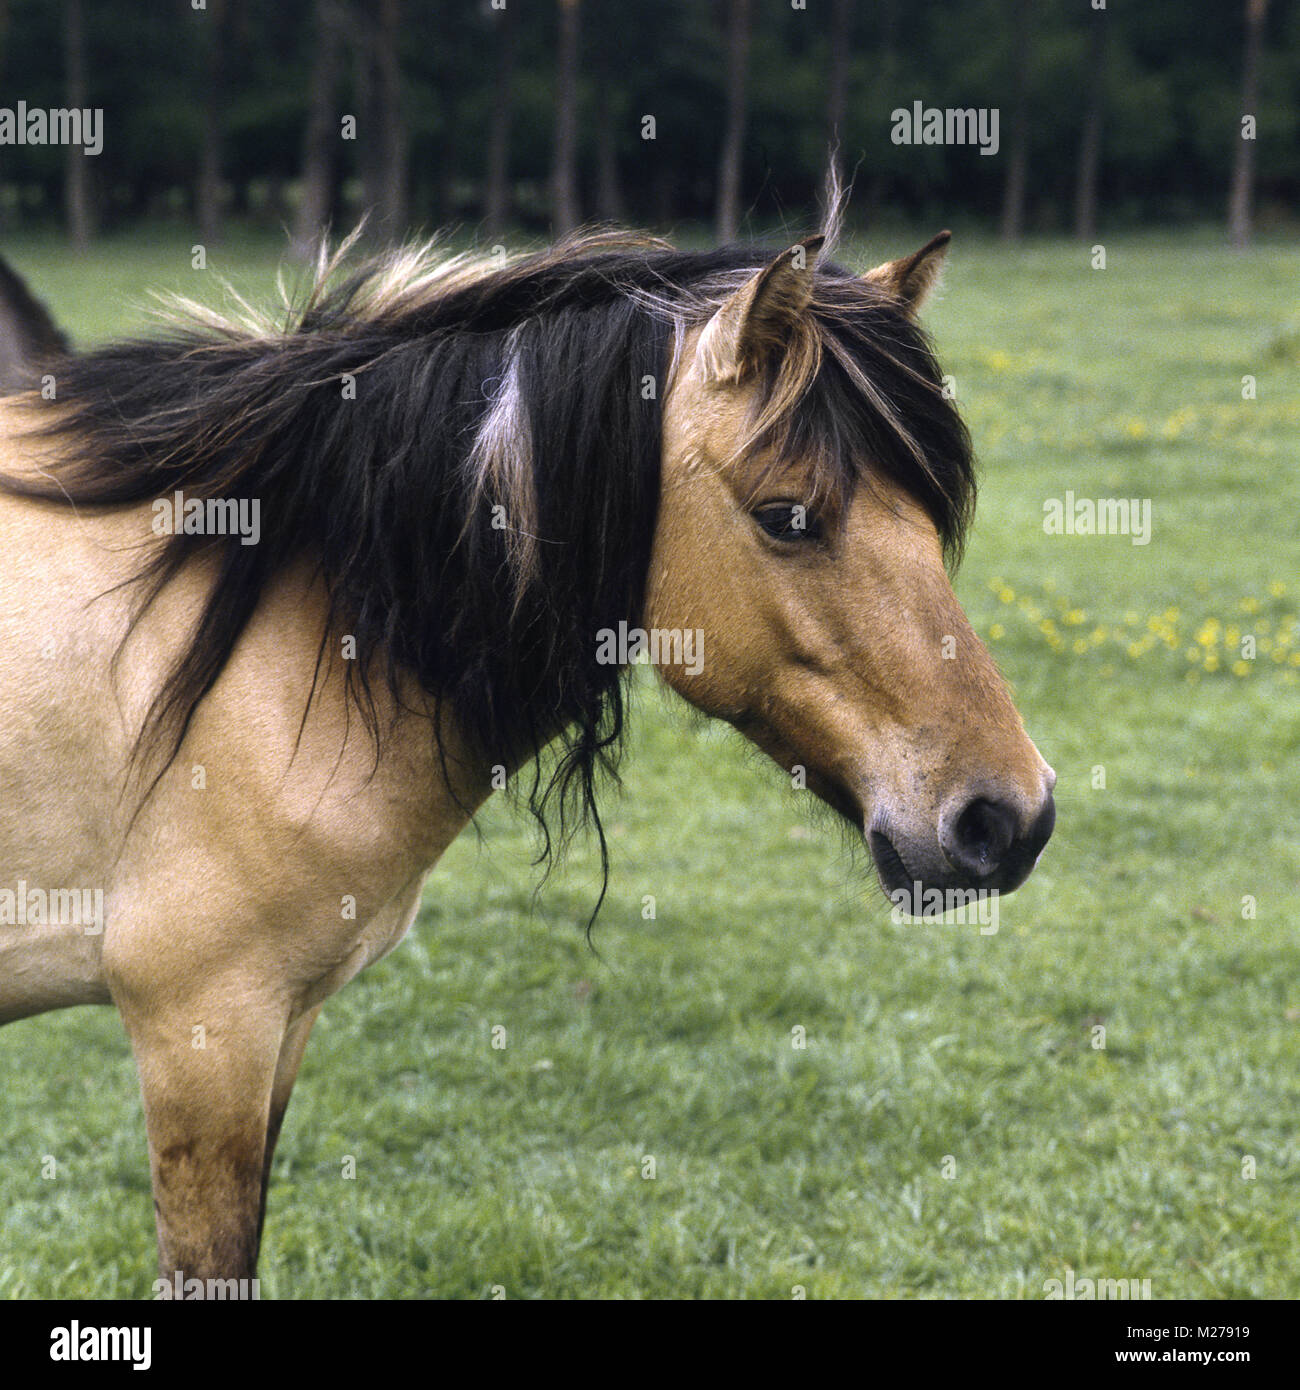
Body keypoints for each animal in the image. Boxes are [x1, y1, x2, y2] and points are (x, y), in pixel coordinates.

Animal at [0, 218, 1055, 1294]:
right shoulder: (204, 1031)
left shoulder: (280, 1026)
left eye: (931, 512)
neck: (281, 625)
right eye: (786, 516)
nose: (1008, 818)